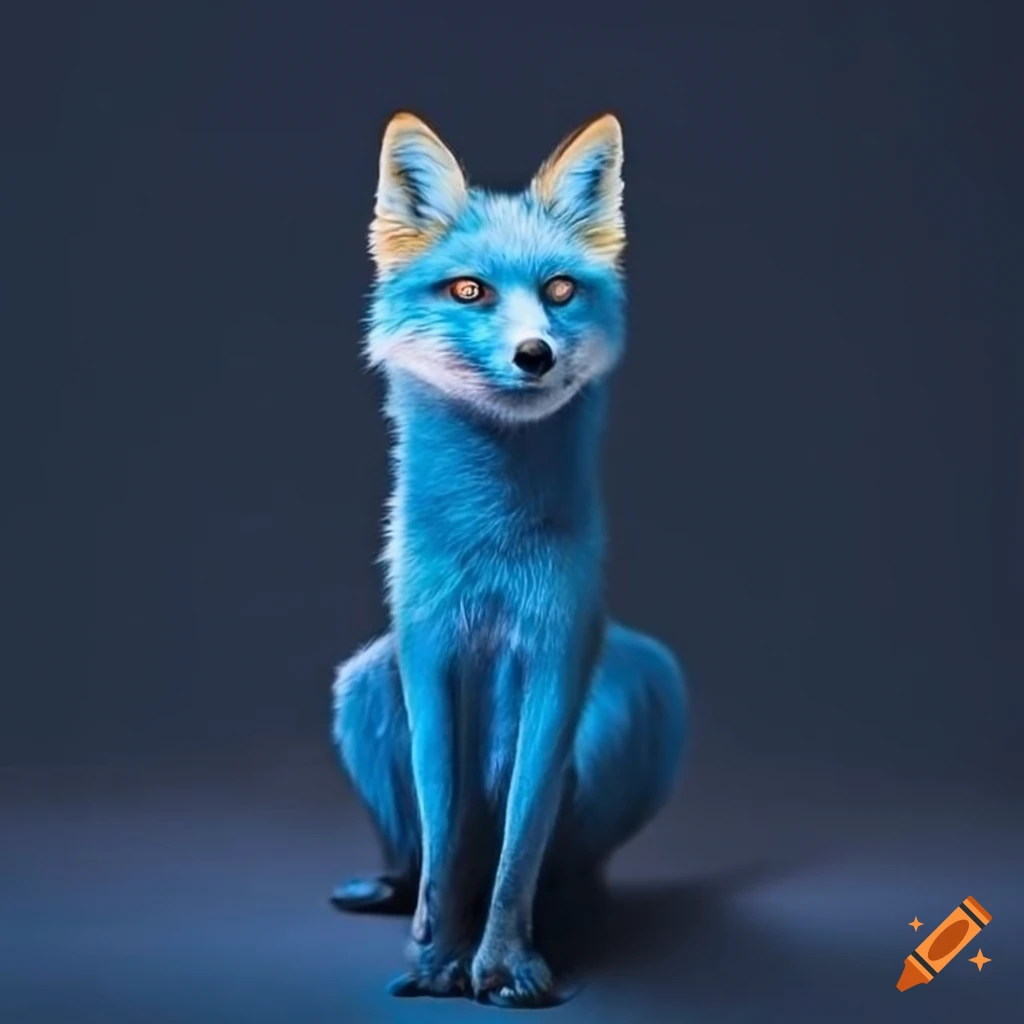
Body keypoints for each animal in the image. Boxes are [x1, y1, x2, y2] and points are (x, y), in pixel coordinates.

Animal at [330, 111, 687, 1008]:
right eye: (469, 291)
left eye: (559, 290)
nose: (535, 354)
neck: (490, 548)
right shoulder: (426, 656)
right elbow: (447, 836)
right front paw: (438, 962)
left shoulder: (558, 660)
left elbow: (516, 849)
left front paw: (503, 965)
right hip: (361, 685)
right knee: (417, 854)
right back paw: (389, 890)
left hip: (652, 686)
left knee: (565, 864)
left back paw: (578, 906)